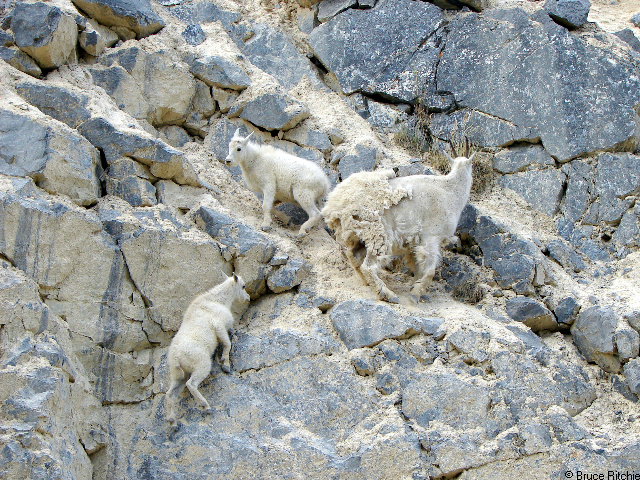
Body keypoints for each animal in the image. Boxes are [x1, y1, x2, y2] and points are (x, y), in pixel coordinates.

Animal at [322, 142, 475, 303]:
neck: (451, 190)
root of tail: (335, 205)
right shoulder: (432, 236)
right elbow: (430, 271)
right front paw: (415, 294)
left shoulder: (416, 243)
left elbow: (418, 267)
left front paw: (415, 286)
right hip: (378, 233)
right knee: (368, 266)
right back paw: (387, 294)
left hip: (359, 234)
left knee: (353, 257)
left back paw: (368, 283)